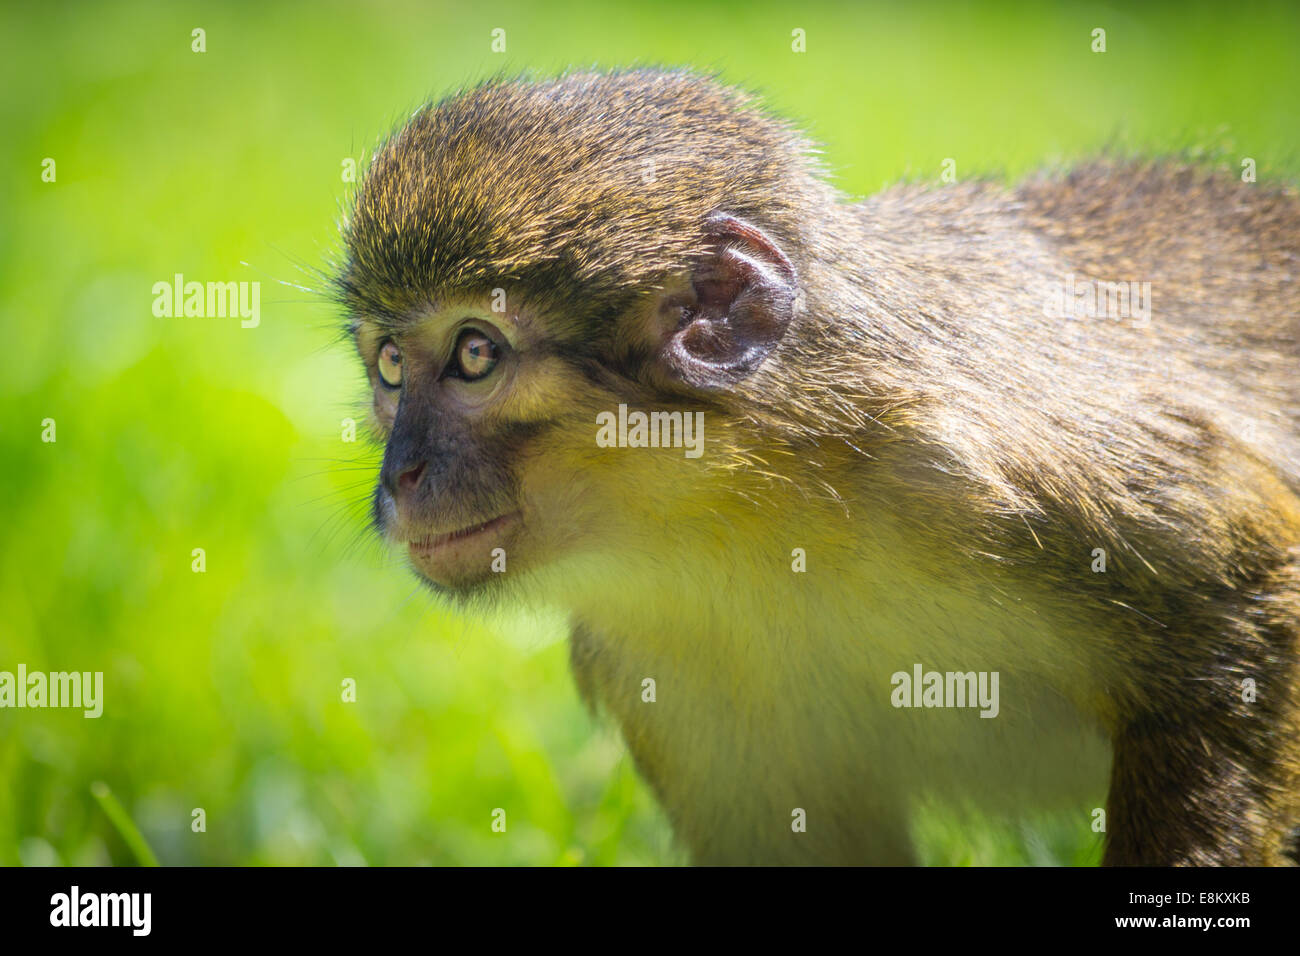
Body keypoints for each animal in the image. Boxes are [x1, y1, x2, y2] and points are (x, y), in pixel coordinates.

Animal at [334, 68, 1300, 865]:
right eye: (391, 367)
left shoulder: (1009, 467)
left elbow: (1250, 586)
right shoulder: (658, 658)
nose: (400, 477)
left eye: (473, 355)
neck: (758, 508)